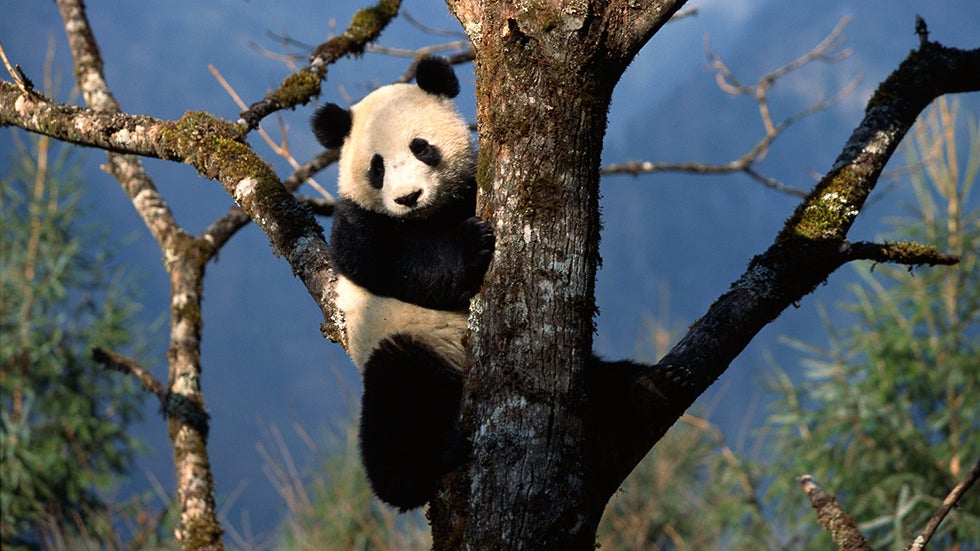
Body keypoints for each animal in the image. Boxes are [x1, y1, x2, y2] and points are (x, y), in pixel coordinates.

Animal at [311, 56, 493, 511]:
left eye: (421, 147)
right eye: (376, 167)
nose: (408, 197)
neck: (427, 219)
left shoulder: (468, 187)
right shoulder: (358, 224)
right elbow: (393, 264)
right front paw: (470, 245)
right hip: (414, 345)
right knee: (395, 402)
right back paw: (420, 470)